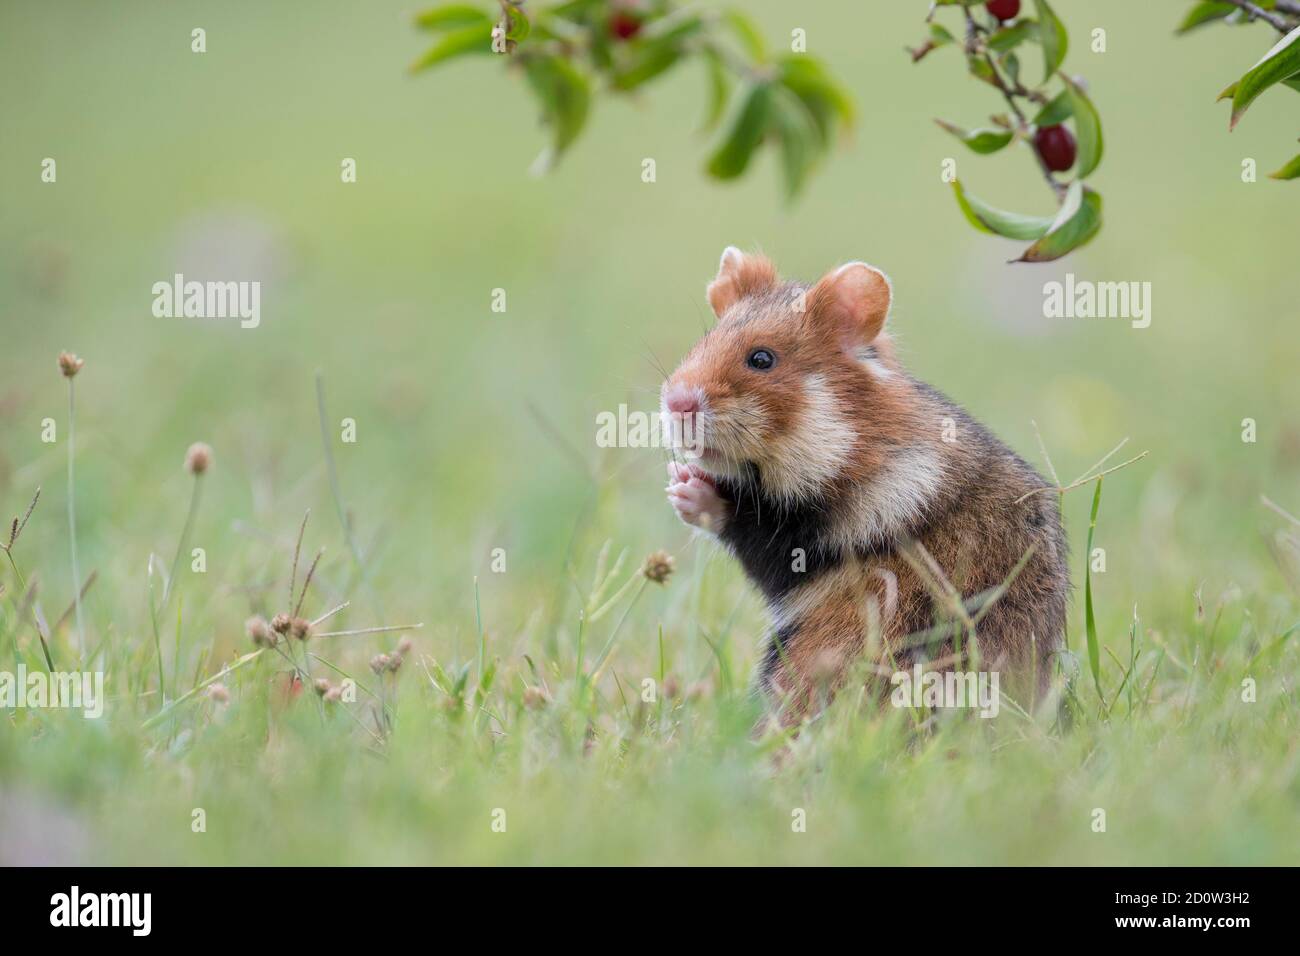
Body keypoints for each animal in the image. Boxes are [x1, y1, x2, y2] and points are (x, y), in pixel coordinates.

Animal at [661, 248, 1069, 722]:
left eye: (762, 359)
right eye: (705, 340)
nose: (675, 403)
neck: (851, 437)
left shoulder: (822, 536)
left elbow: (758, 532)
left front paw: (688, 489)